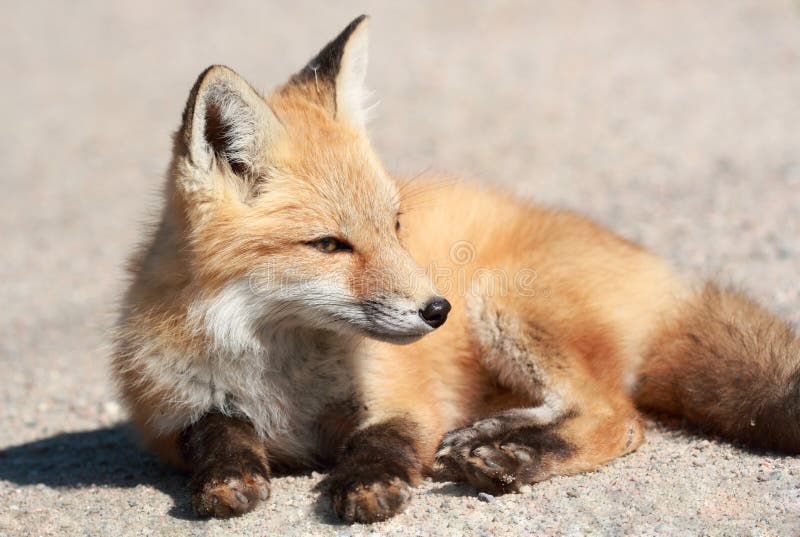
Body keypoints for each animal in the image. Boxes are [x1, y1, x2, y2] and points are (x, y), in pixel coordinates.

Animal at [113, 15, 800, 524]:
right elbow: (216, 434)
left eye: (394, 225)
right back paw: (490, 436)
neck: (285, 380)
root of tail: (664, 272)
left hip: (503, 304)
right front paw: (227, 477)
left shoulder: (403, 394)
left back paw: (513, 460)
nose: (437, 310)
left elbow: (385, 441)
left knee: (619, 419)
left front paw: (368, 483)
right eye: (330, 245)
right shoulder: (171, 410)